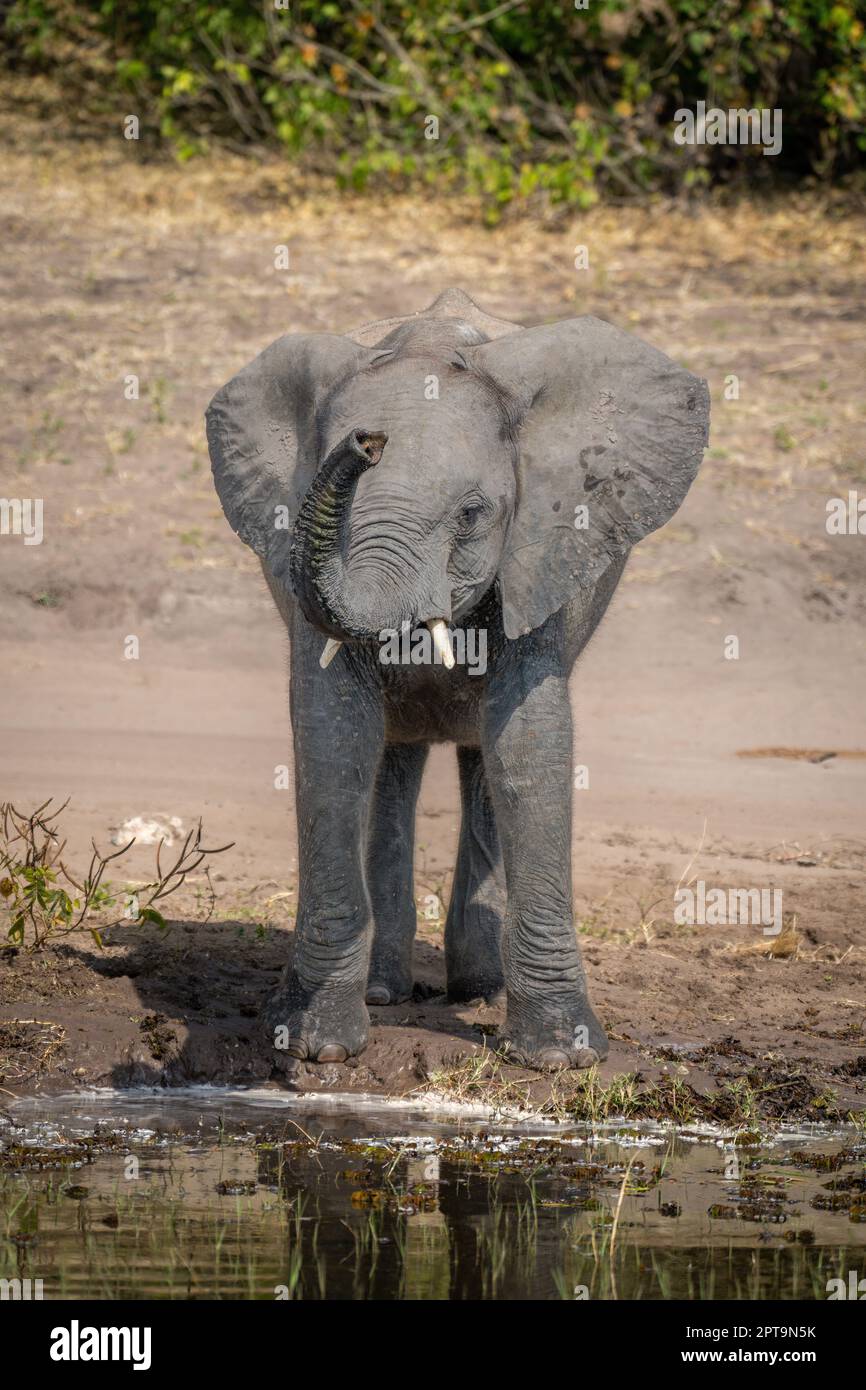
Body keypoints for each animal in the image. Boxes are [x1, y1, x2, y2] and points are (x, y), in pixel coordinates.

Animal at [206, 288, 709, 1070]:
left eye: (472, 513)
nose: (365, 442)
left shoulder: (545, 546)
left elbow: (528, 742)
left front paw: (560, 1057)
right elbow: (332, 735)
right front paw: (315, 1044)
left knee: (477, 755)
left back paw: (479, 989)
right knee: (392, 759)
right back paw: (386, 991)